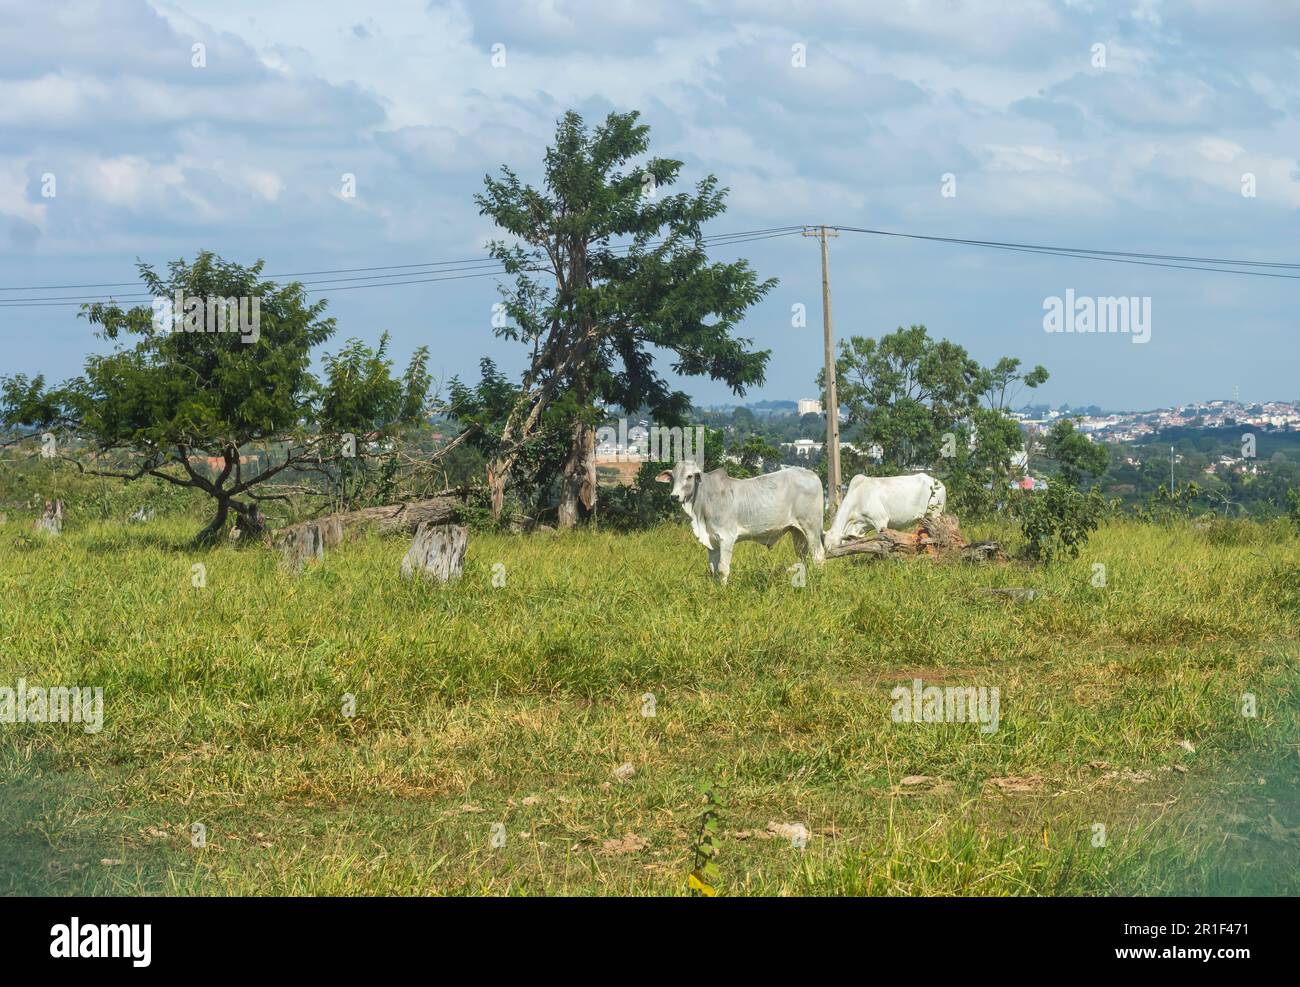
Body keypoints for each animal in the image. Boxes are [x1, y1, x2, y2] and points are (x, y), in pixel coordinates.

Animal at [656, 461, 825, 583]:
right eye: (672, 477)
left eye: (690, 476)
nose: (674, 496)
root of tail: (811, 474)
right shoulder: (712, 542)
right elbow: (713, 570)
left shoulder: (726, 538)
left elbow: (723, 568)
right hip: (797, 532)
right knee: (804, 557)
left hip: (811, 528)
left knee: (818, 556)